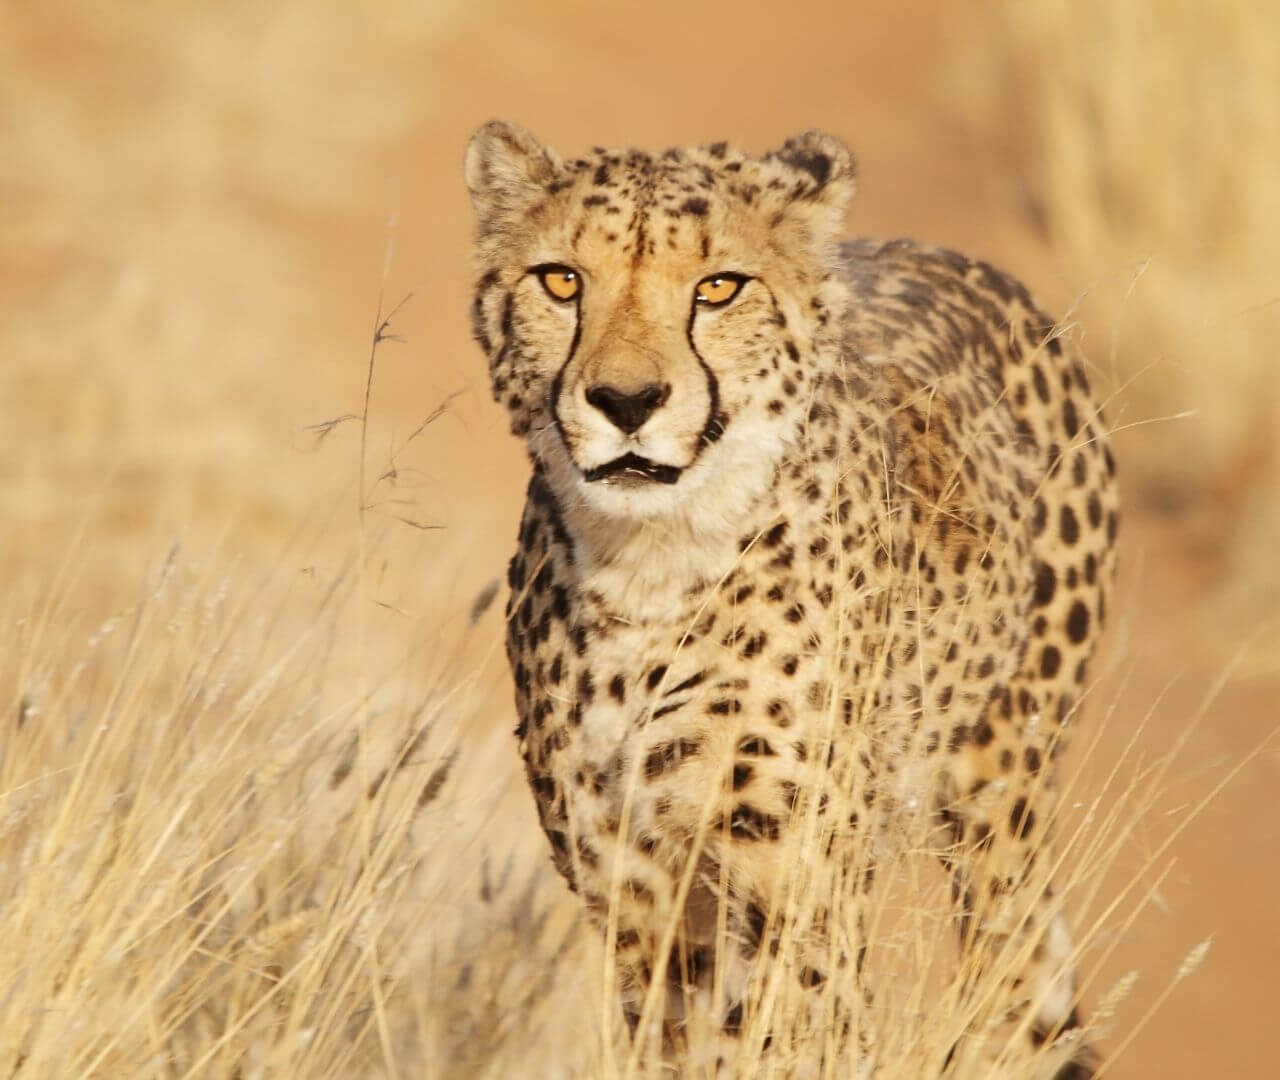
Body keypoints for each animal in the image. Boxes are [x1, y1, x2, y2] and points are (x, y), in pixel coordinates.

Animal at [464, 120, 1118, 1078]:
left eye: (718, 287)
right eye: (561, 280)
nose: (626, 400)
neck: (649, 566)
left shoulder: (794, 895)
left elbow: (794, 1036)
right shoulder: (637, 896)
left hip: (1002, 797)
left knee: (1020, 982)